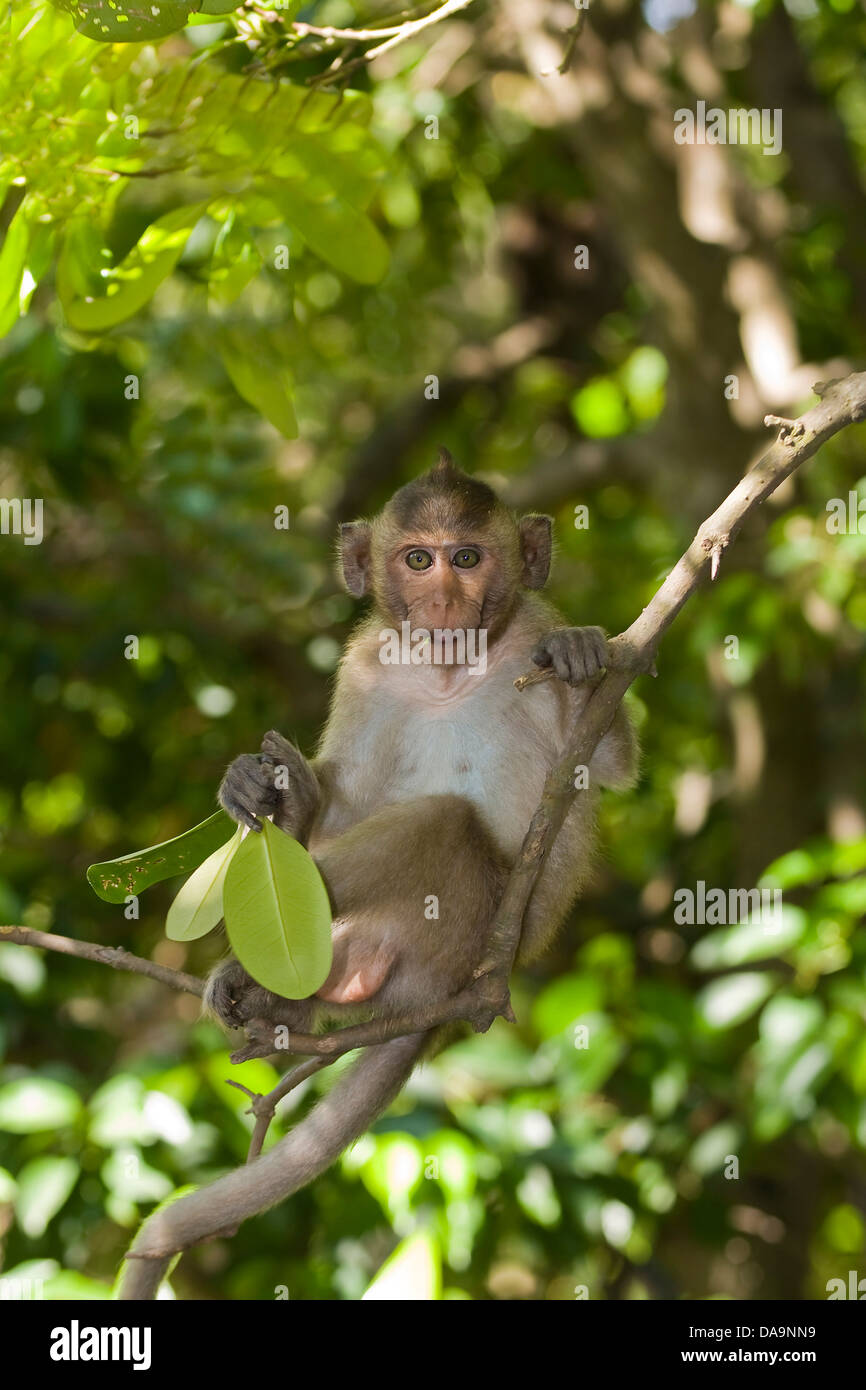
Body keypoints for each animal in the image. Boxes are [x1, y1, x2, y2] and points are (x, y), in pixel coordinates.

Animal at [195, 449, 637, 1233]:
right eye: (419, 560)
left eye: (467, 558)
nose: (445, 600)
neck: (447, 673)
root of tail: (447, 1007)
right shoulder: (365, 667)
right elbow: (349, 802)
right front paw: (266, 790)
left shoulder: (532, 630)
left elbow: (608, 766)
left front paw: (582, 657)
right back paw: (282, 996)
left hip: (459, 937)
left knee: (443, 826)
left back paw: (255, 984)